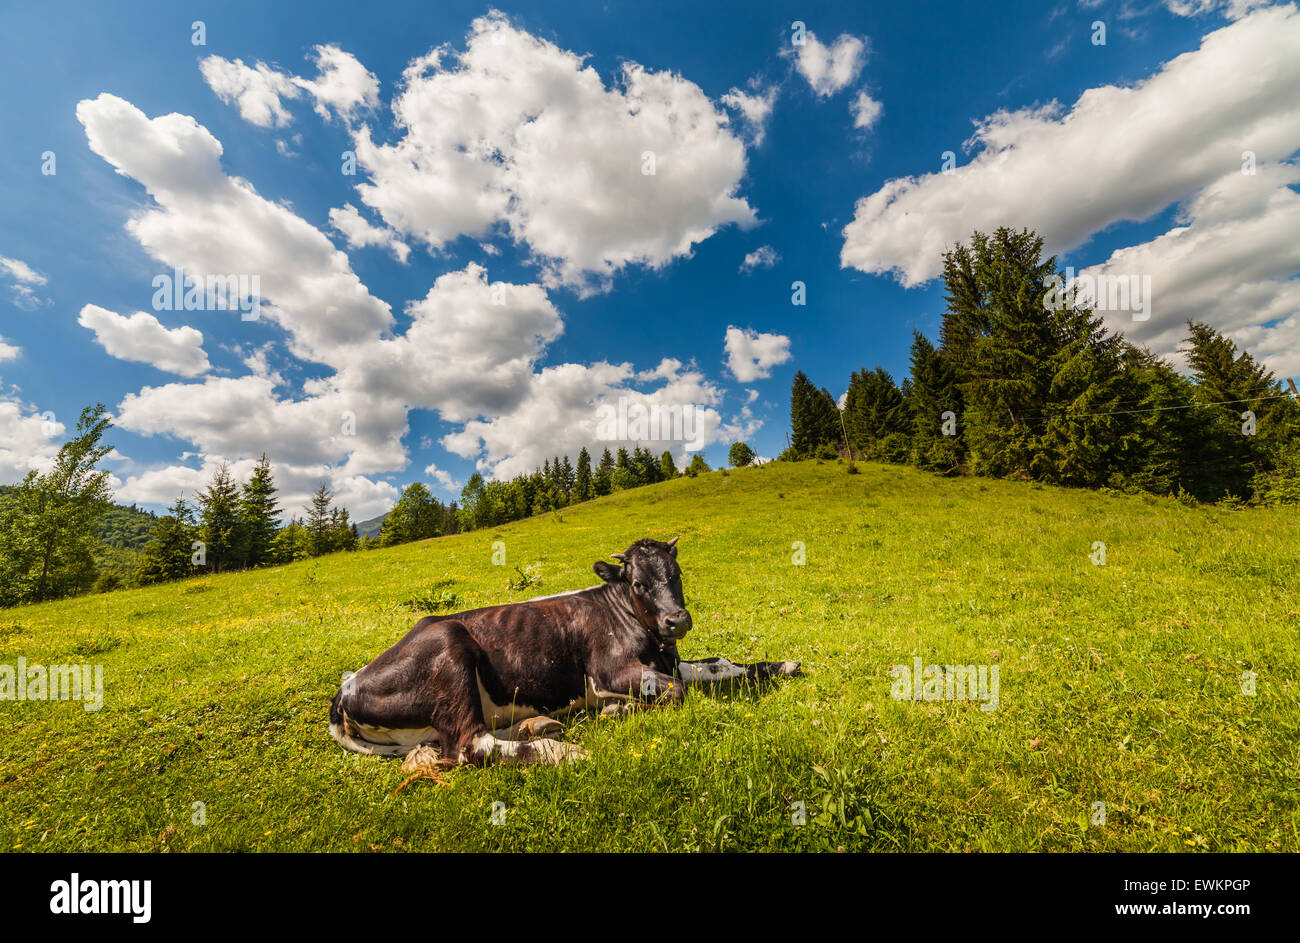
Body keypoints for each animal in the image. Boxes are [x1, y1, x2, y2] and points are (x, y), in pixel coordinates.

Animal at [328, 537, 800, 766]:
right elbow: (675, 691)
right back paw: (563, 752)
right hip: (447, 647)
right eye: (638, 582)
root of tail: (347, 687)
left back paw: (537, 726)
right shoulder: (611, 672)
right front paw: (617, 710)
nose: (677, 620)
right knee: (471, 744)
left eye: (677, 573)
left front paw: (784, 664)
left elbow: (719, 664)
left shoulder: (670, 661)